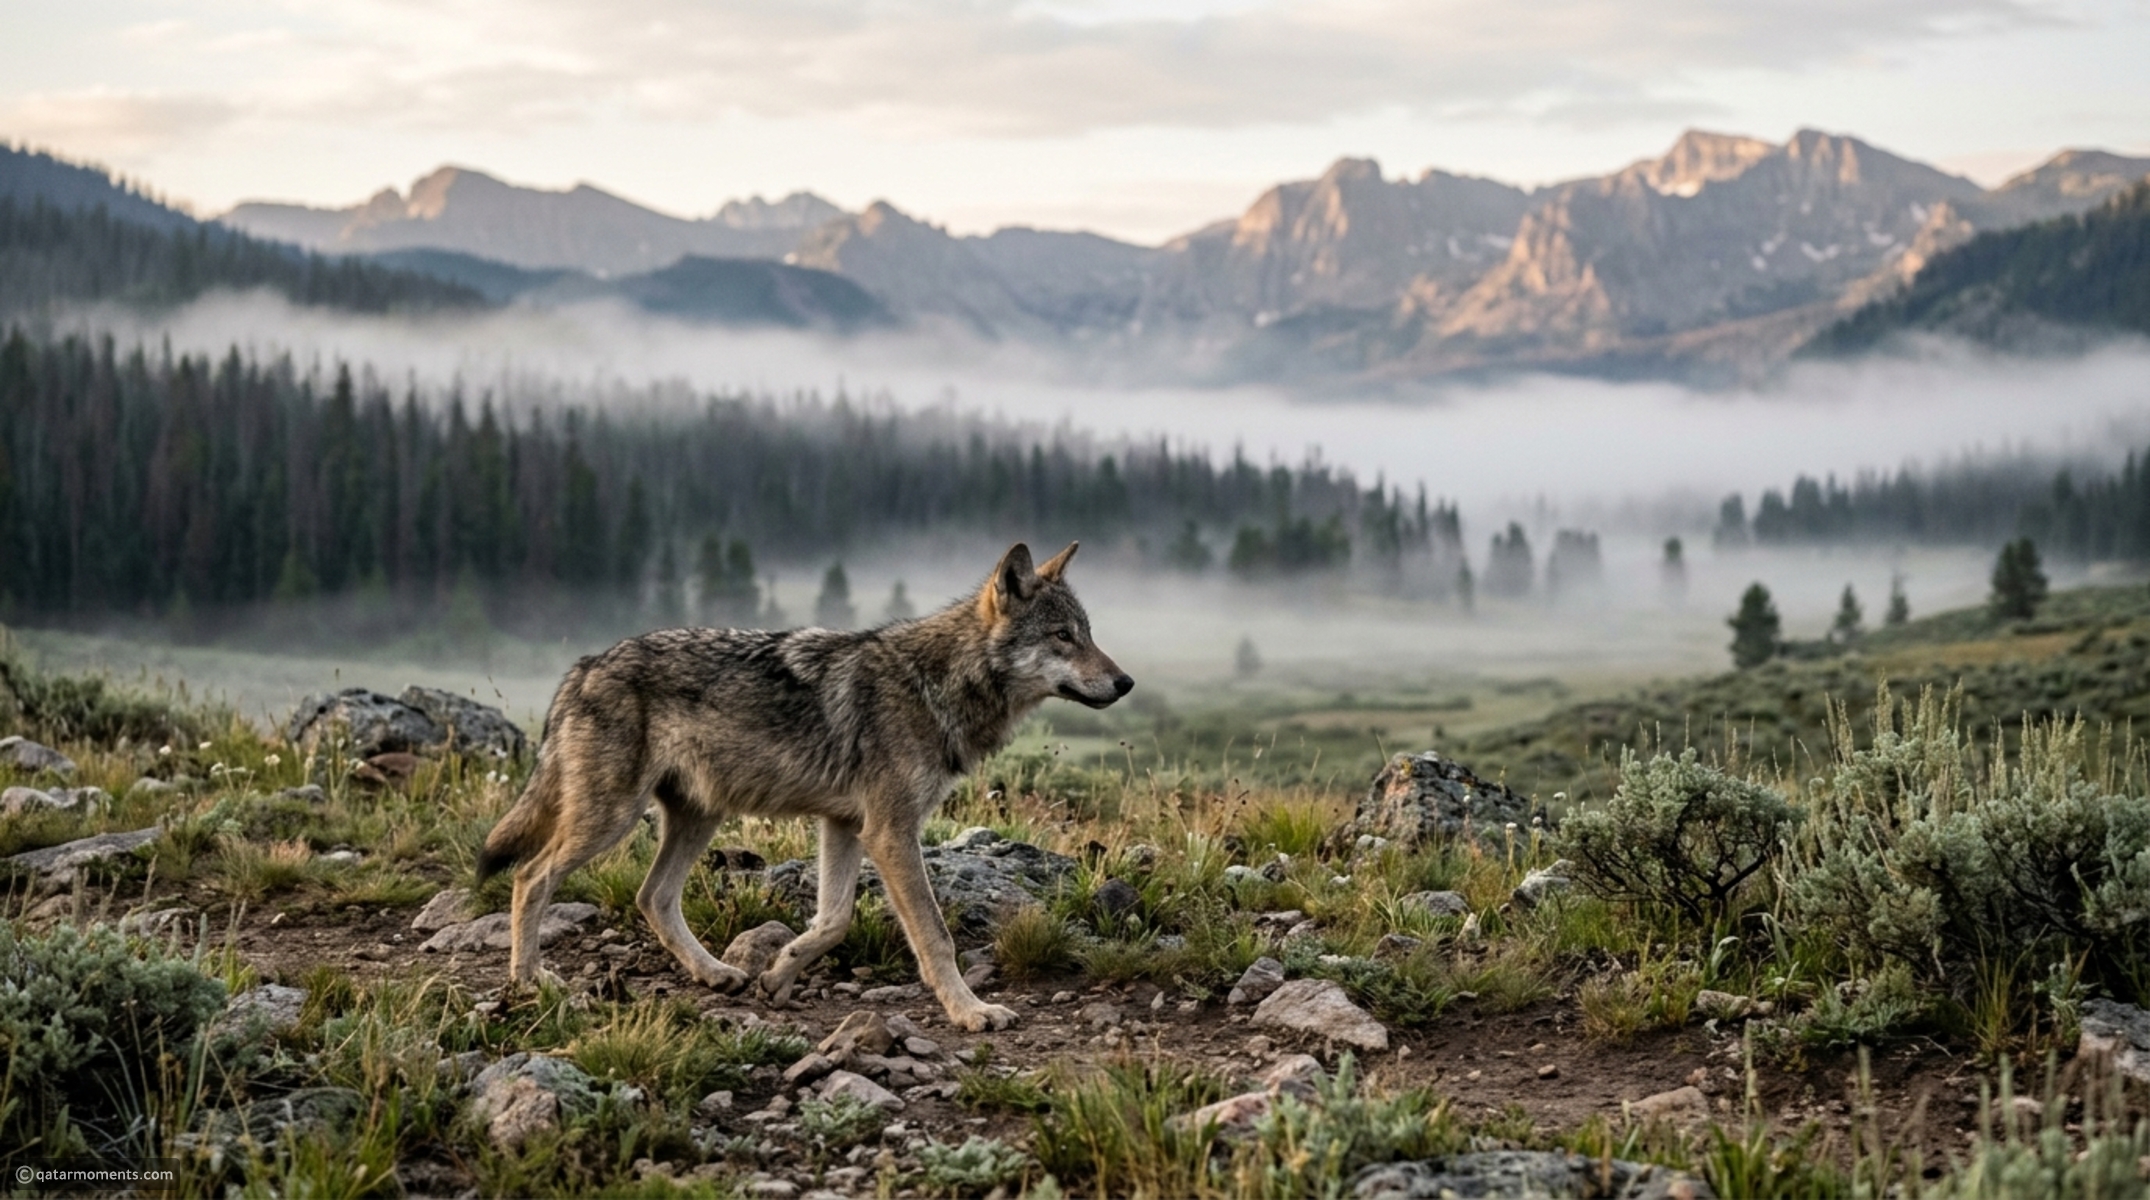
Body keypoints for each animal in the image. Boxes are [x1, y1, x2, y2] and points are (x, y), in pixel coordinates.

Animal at [475, 541, 1131, 1031]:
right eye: (1063, 636)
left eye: (1089, 632)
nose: (1124, 682)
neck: (935, 686)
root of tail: (584, 666)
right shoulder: (890, 832)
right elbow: (935, 936)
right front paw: (970, 1011)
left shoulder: (845, 825)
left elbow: (832, 921)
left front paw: (779, 974)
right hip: (610, 820)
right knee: (530, 878)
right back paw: (529, 982)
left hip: (697, 816)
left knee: (652, 897)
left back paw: (715, 973)